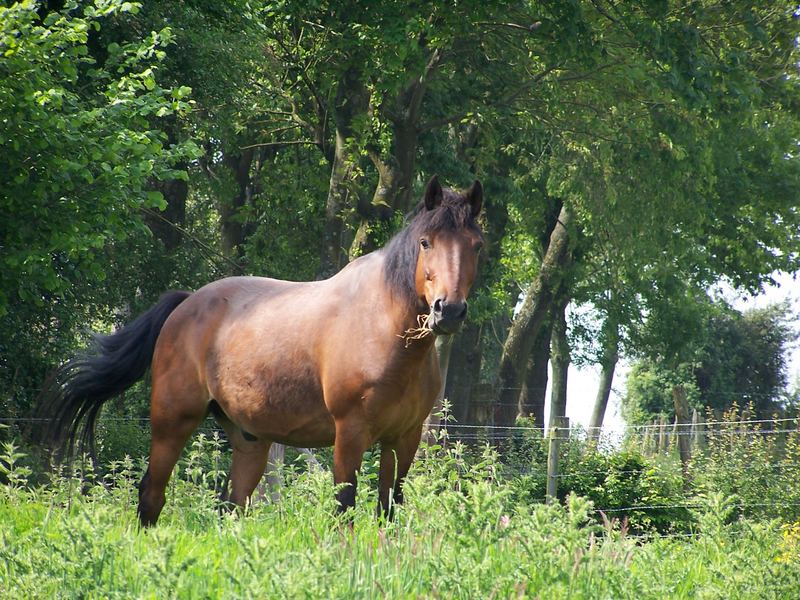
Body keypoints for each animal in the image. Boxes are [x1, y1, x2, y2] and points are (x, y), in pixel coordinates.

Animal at [36, 175, 484, 526]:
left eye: (476, 245)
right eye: (425, 242)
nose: (449, 310)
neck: (384, 330)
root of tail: (185, 304)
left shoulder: (403, 439)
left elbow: (388, 509)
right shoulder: (350, 434)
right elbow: (344, 507)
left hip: (249, 441)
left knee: (231, 507)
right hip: (172, 421)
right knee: (152, 495)